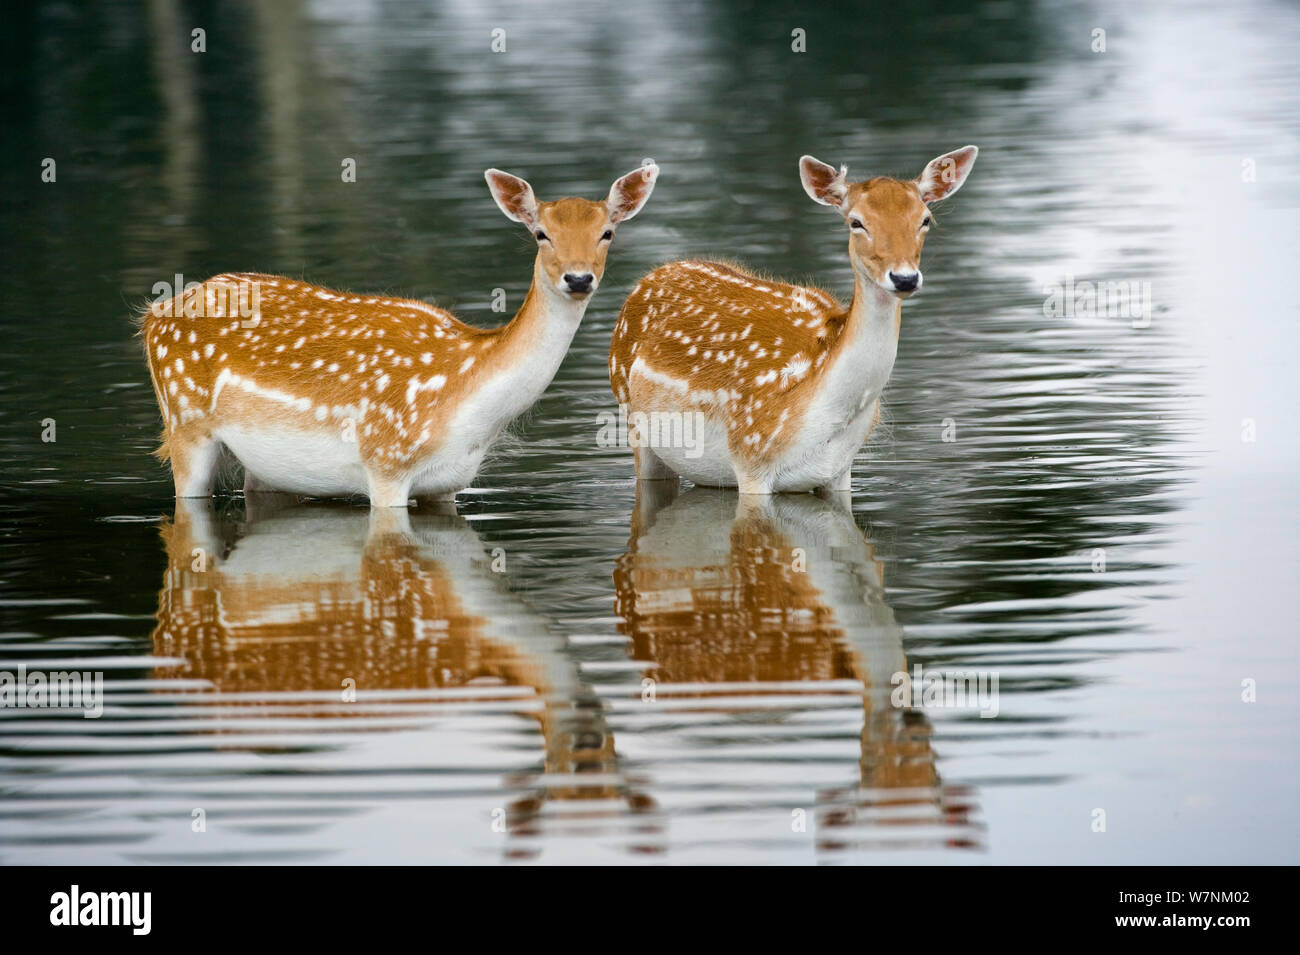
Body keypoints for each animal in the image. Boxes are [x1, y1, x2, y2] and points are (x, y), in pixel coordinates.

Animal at [142, 163, 659, 506]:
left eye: (607, 233)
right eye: (541, 234)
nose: (578, 278)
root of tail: (155, 313)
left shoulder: (448, 485)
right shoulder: (385, 458)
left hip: (261, 465)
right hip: (184, 424)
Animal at [609, 146, 977, 495]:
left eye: (925, 219)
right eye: (856, 222)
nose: (904, 278)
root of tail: (651, 276)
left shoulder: (840, 470)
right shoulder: (749, 454)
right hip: (633, 419)